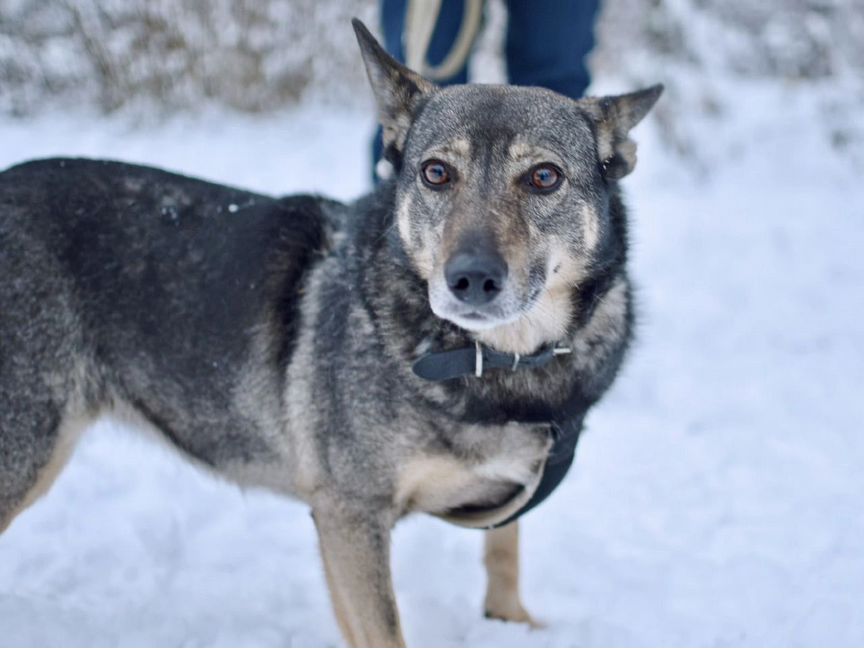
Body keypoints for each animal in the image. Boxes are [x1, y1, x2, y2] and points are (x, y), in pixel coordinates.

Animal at [1, 20, 660, 648]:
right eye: (436, 173)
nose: (470, 279)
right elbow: (386, 632)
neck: (491, 361)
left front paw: (510, 622)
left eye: (545, 177)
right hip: (27, 450)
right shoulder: (350, 517)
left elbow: (505, 552)